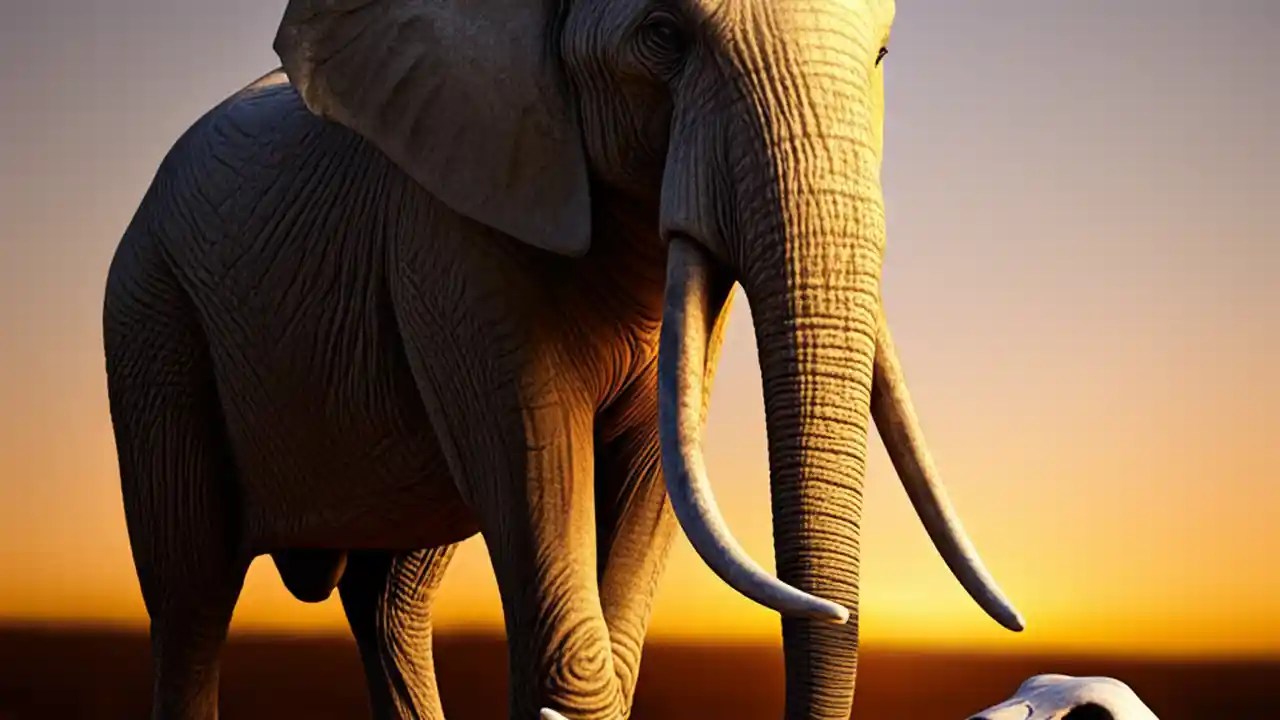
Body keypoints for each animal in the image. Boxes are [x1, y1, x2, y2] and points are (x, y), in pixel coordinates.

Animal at [103, 0, 1024, 718]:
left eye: (881, 57)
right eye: (663, 36)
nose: (831, 612)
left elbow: (650, 481)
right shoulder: (452, 227)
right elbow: (543, 478)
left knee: (391, 594)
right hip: (151, 316)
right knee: (191, 596)